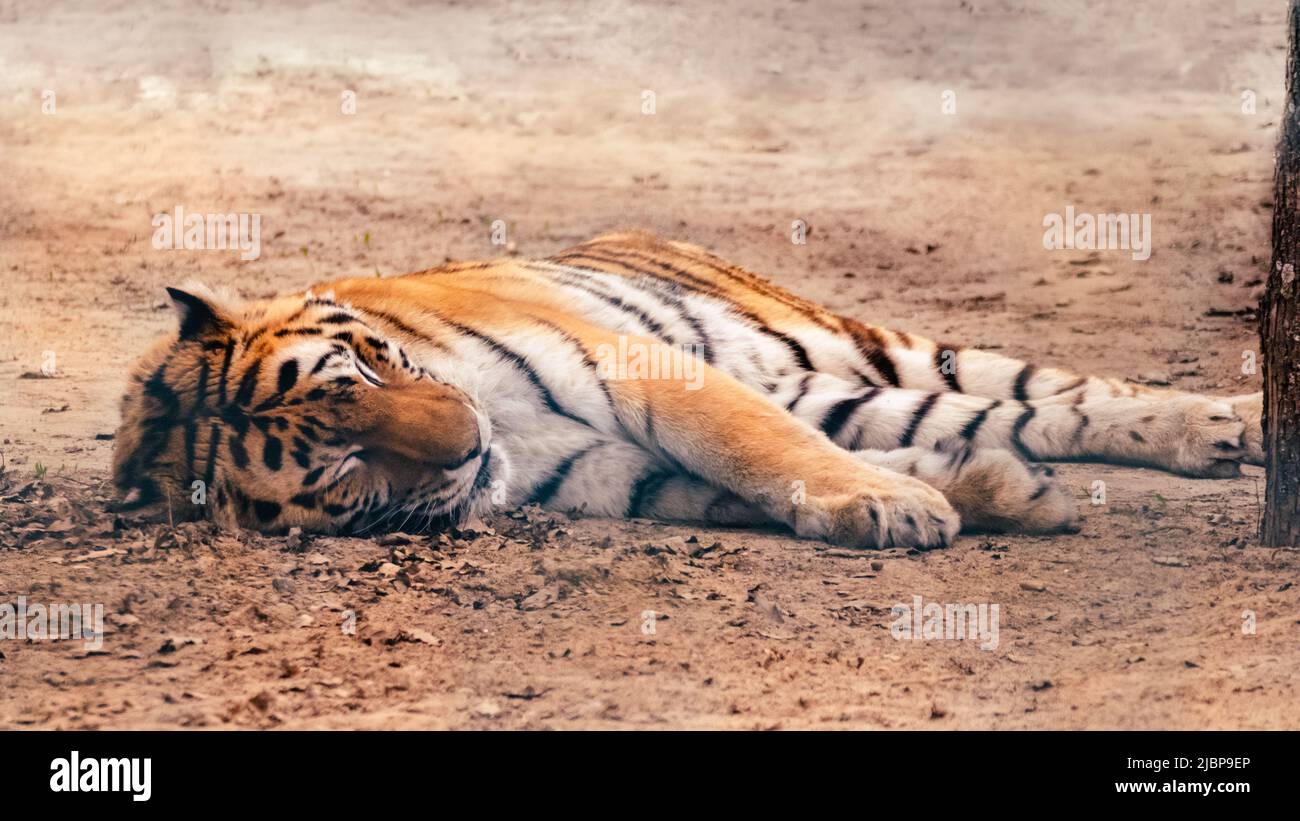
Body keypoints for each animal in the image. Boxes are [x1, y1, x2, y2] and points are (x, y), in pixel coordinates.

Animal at [111, 231, 1264, 550]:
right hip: (838, 383)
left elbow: (753, 445)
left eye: (368, 368)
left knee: (1057, 385)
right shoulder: (617, 474)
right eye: (345, 471)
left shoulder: (643, 373)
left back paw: (1233, 422)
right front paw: (952, 496)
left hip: (857, 343)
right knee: (1018, 415)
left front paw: (892, 501)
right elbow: (744, 483)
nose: (466, 438)